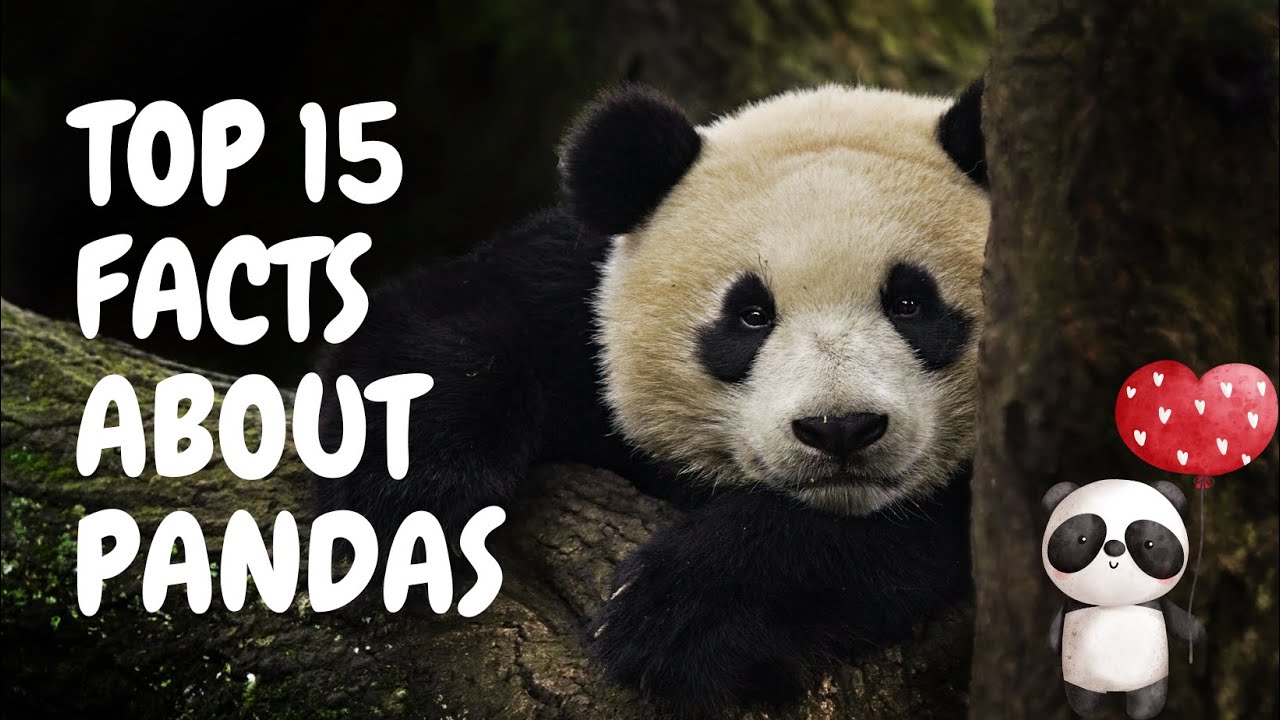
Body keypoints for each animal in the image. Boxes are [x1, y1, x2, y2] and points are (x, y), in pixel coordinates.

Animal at [313, 79, 990, 716]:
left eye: (910, 303)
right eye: (750, 315)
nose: (839, 428)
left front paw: (676, 617)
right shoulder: (580, 296)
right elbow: (464, 311)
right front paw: (409, 497)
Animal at [1042, 479, 1206, 720]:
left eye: (1149, 543)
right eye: (1082, 539)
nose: (1114, 547)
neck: (1115, 603)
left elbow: (1181, 623)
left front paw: (1198, 631)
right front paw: (1052, 645)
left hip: (1150, 676)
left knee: (1149, 694)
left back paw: (1141, 711)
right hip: (1081, 677)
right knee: (1083, 695)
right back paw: (1089, 710)